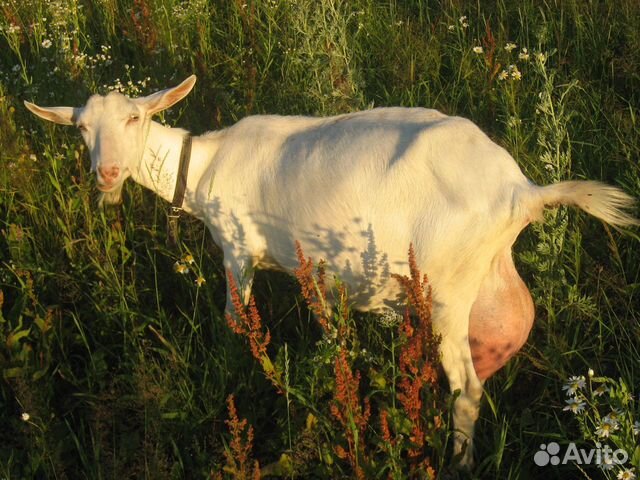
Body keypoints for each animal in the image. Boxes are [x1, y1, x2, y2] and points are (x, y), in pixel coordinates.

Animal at [25, 75, 638, 467]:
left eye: (134, 117)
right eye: (81, 128)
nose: (106, 173)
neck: (201, 167)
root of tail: (520, 192)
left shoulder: (237, 249)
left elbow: (235, 320)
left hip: (447, 286)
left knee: (465, 388)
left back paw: (457, 463)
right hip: (484, 279)